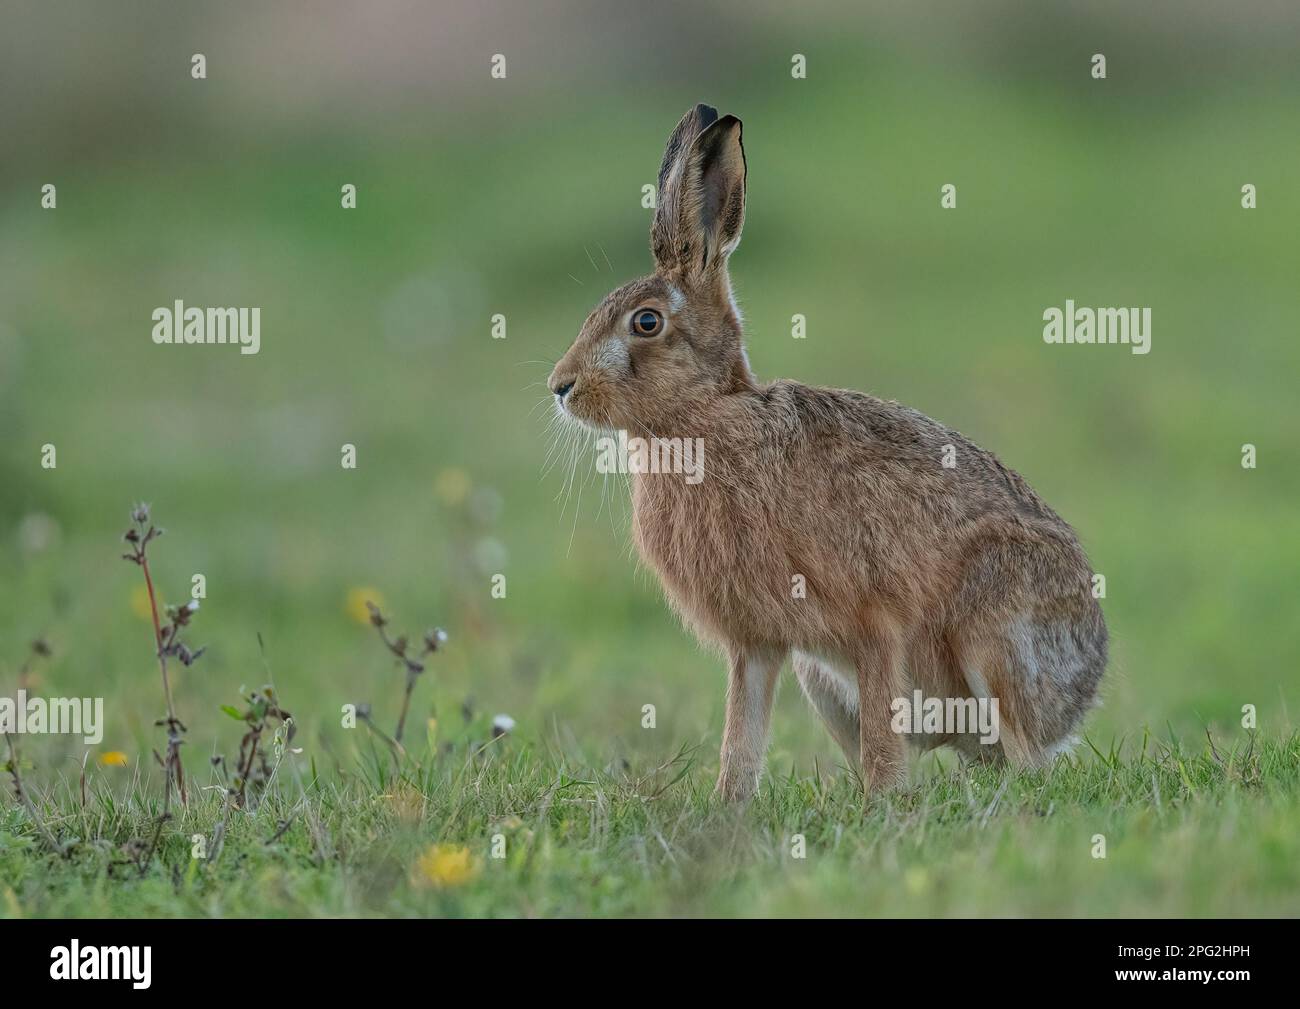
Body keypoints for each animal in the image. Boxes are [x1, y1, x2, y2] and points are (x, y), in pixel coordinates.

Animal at [547, 104, 1107, 801]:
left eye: (645, 323)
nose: (560, 386)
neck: (703, 418)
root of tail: (1089, 680)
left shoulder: (875, 620)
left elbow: (881, 734)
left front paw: (883, 803)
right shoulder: (758, 643)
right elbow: (742, 735)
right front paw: (728, 805)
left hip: (996, 625)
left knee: (1028, 758)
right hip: (822, 678)